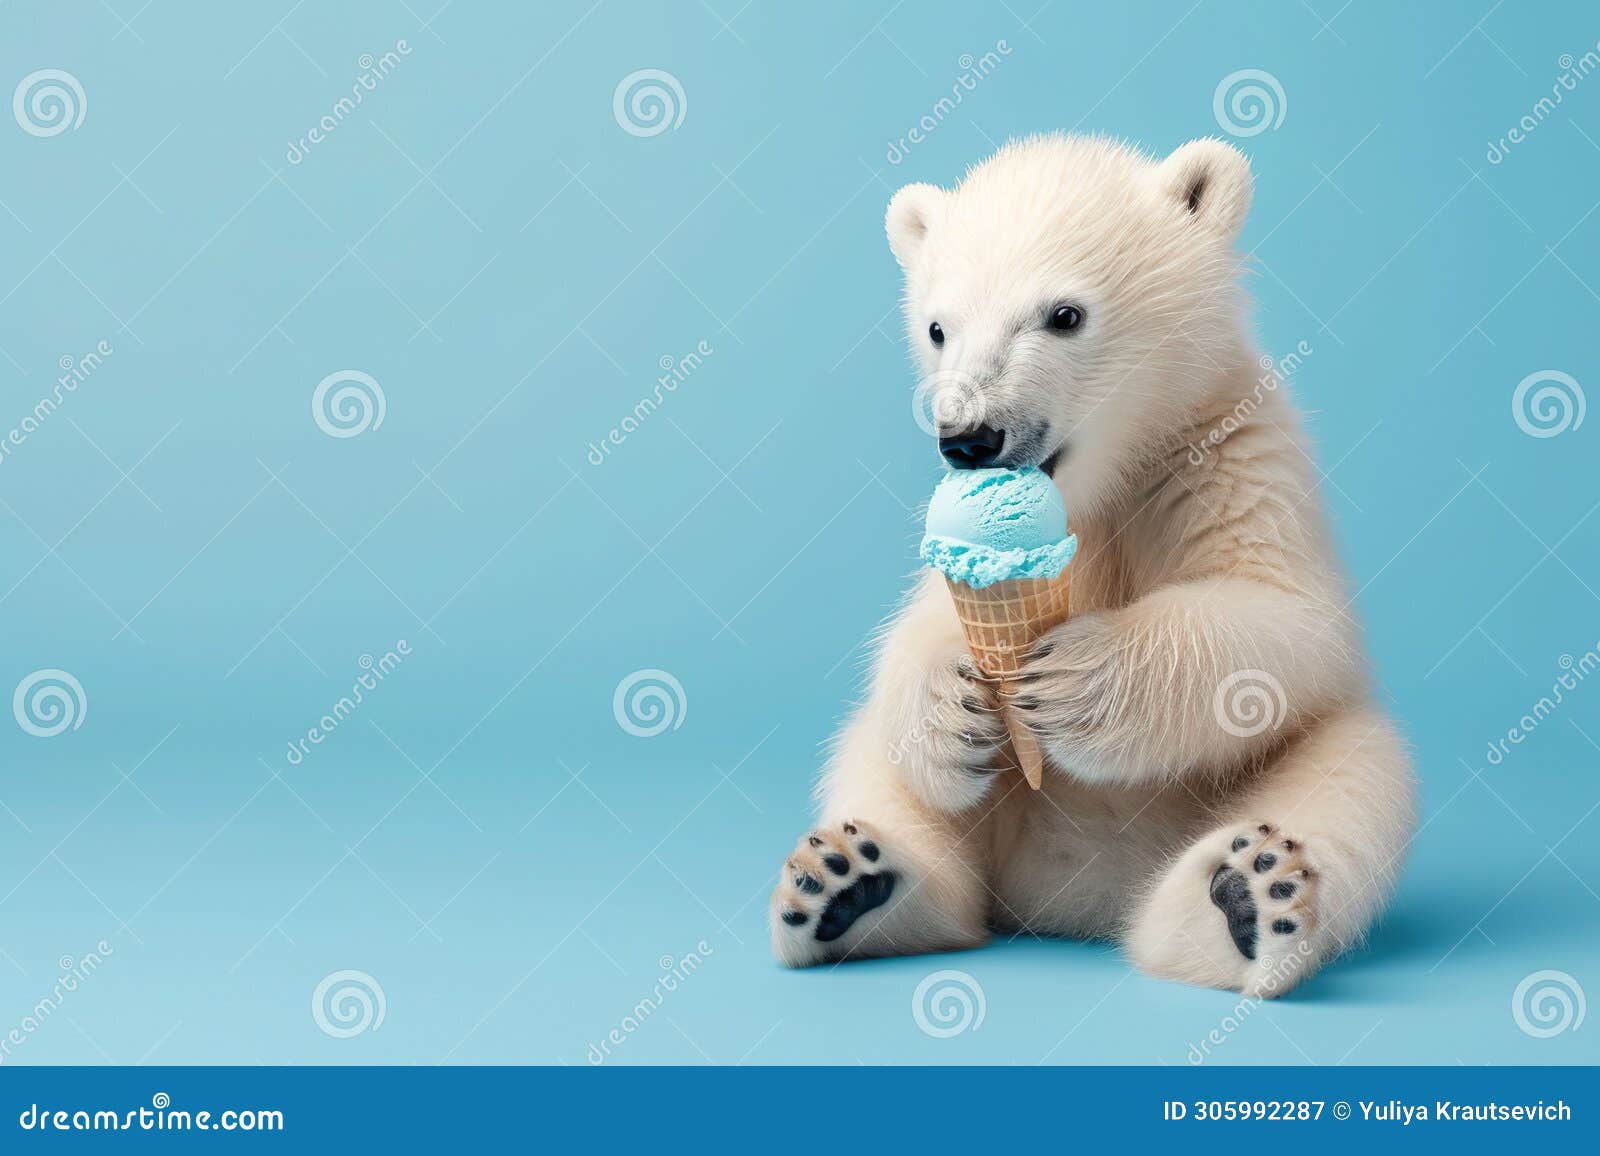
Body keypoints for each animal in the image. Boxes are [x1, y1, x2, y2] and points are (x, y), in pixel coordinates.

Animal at [768, 134, 1416, 998]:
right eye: (938, 328)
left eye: (1064, 315)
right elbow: (920, 631)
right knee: (876, 753)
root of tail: (1080, 890)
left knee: (1355, 769)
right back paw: (852, 884)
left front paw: (1077, 681)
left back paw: (1245, 902)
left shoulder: (1230, 449)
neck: (1103, 479)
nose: (968, 438)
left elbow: (1284, 616)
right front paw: (953, 702)